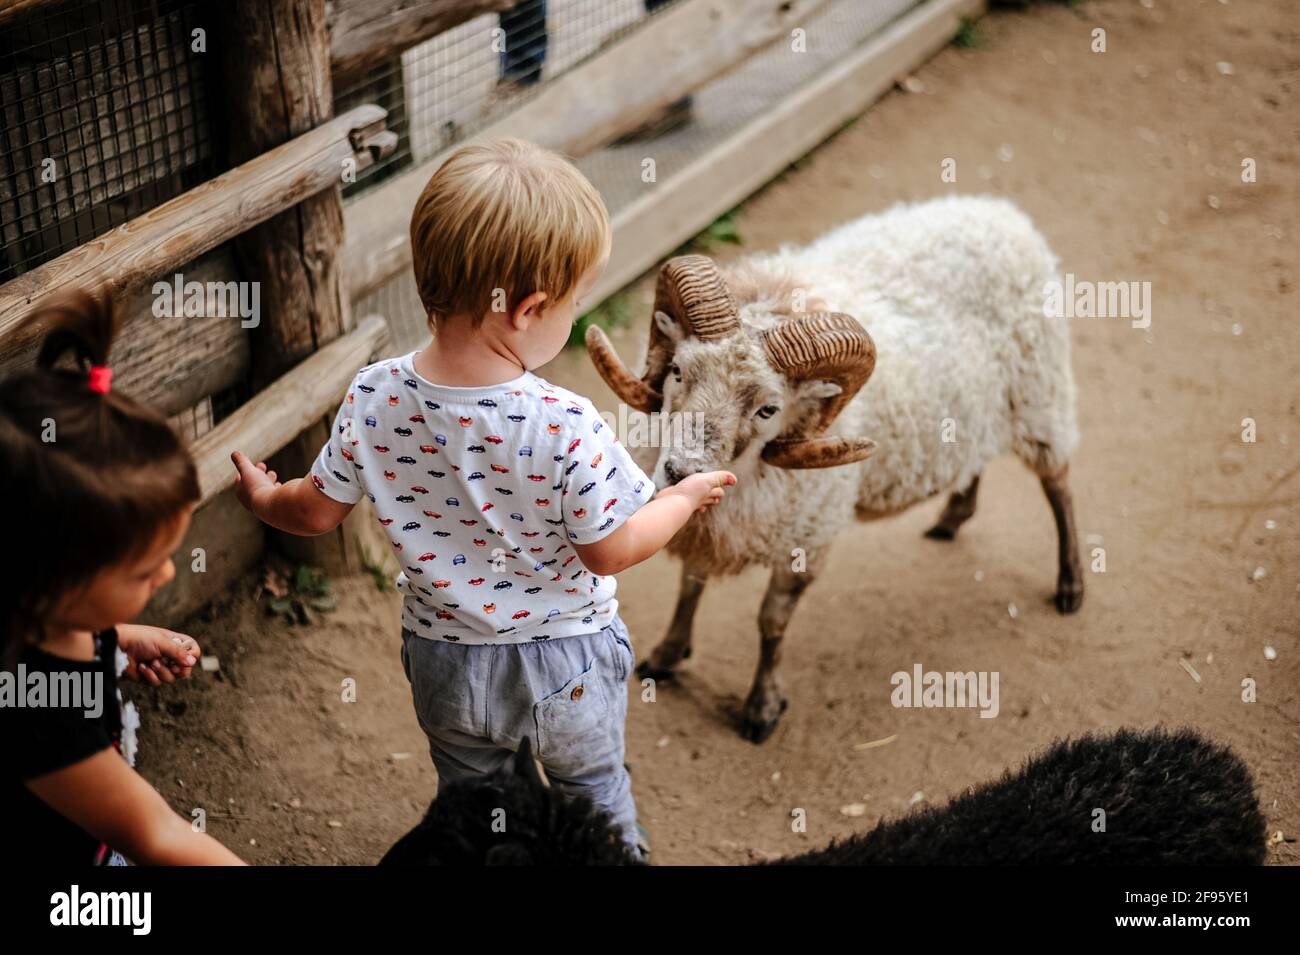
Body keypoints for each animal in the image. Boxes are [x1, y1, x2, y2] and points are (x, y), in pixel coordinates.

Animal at [585, 195, 1083, 742]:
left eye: (768, 410)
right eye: (677, 371)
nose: (680, 472)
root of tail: (1001, 212)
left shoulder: (808, 538)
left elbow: (772, 624)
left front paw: (761, 707)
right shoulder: (703, 525)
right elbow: (690, 584)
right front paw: (668, 654)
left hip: (1040, 398)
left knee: (1059, 485)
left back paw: (1071, 584)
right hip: (975, 410)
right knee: (973, 461)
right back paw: (953, 516)